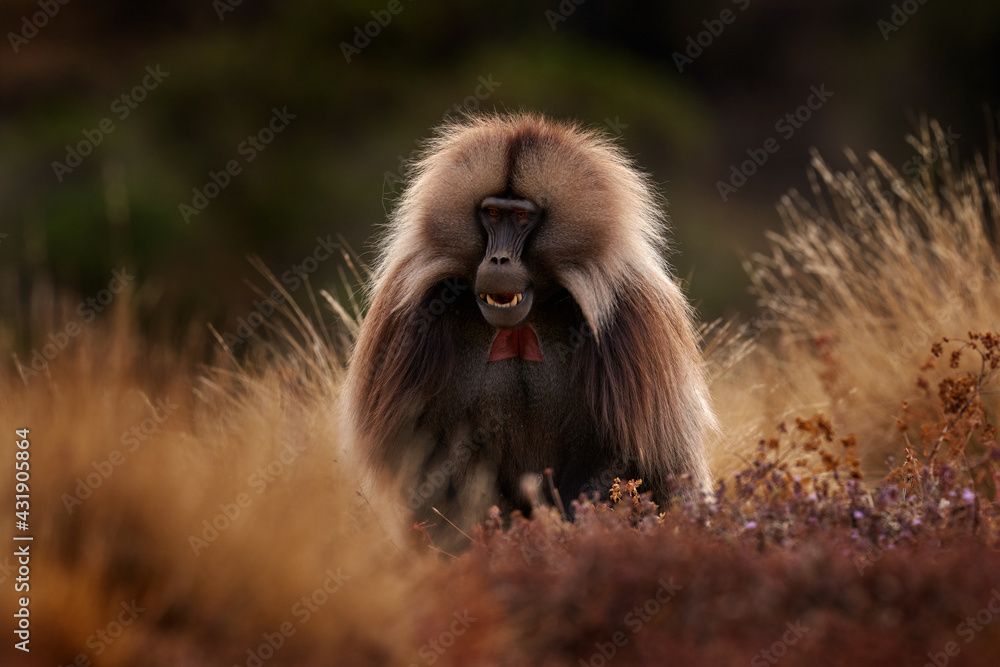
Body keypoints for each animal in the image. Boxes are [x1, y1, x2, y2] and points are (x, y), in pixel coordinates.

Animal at [345, 113, 716, 546]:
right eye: (492, 214)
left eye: (521, 217)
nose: (499, 260)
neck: (526, 321)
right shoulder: (405, 314)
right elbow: (416, 451)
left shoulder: (632, 316)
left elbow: (630, 451)